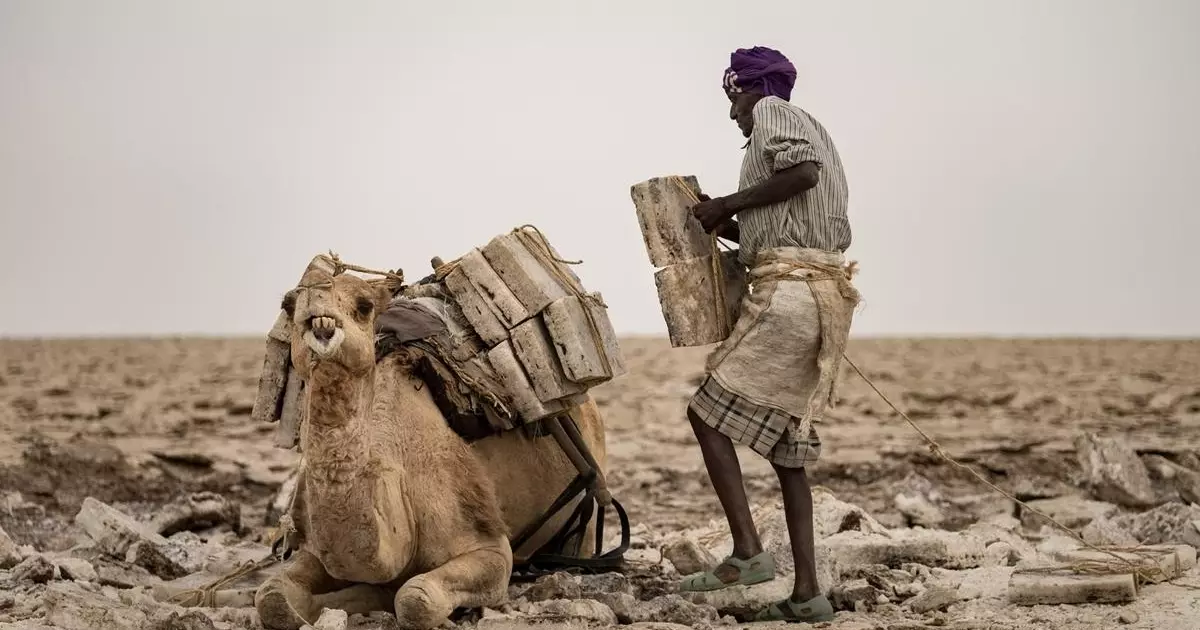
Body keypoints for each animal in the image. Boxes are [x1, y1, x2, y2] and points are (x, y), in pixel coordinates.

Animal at [253, 265, 609, 628]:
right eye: (288, 304)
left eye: (364, 305)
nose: (316, 298)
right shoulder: (315, 550)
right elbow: (271, 596)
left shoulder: (490, 547)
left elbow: (415, 599)